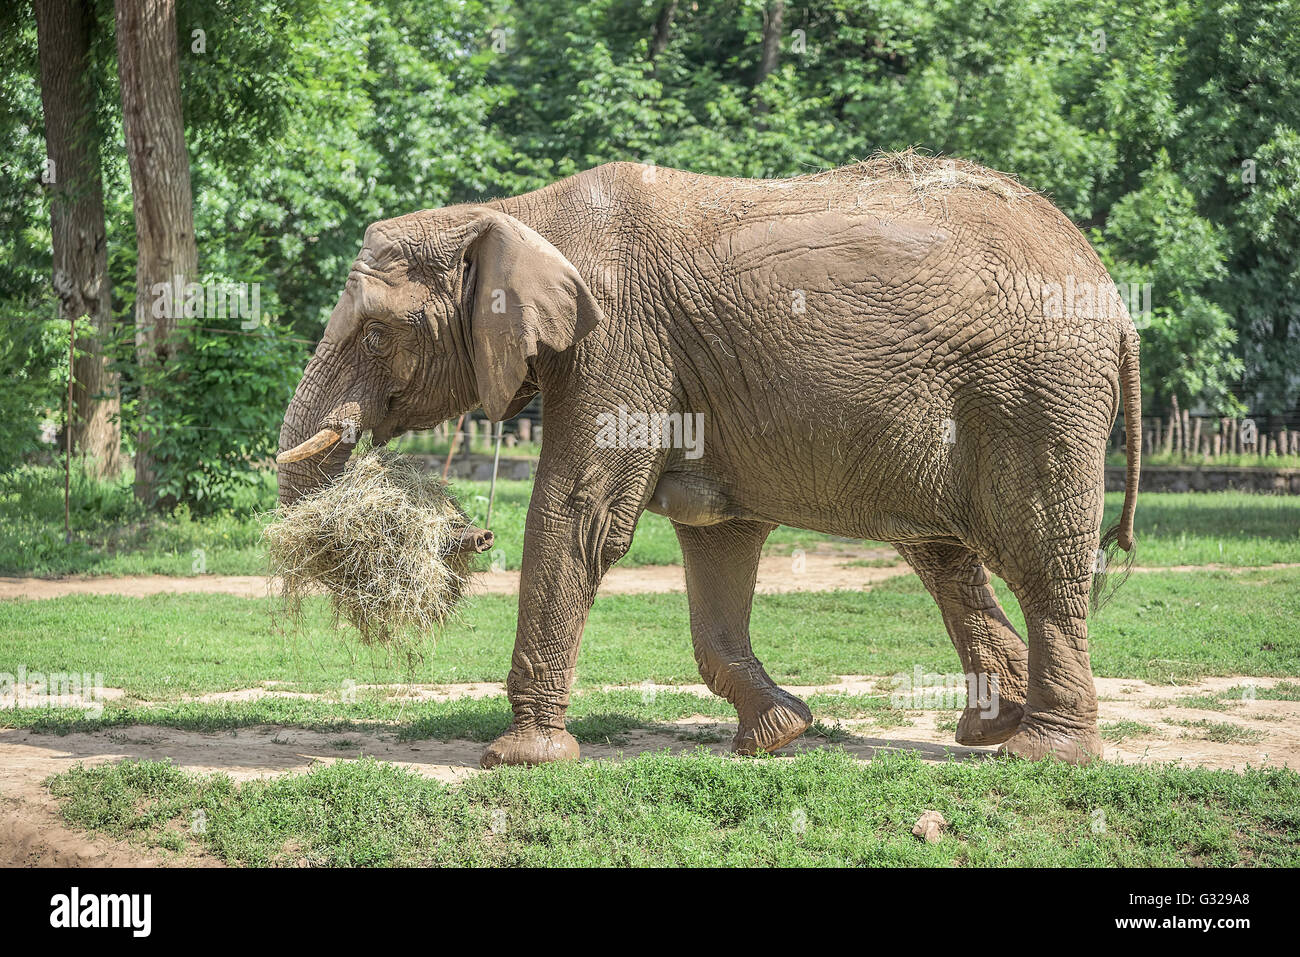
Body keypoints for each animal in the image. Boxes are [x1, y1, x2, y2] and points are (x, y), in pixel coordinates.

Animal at [276, 152, 1142, 768]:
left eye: (377, 333)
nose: (464, 534)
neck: (513, 213)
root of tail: (1113, 293)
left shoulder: (621, 341)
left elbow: (579, 513)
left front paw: (520, 760)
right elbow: (715, 538)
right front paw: (777, 734)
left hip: (1036, 394)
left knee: (1043, 559)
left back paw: (1044, 752)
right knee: (944, 555)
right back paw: (991, 729)